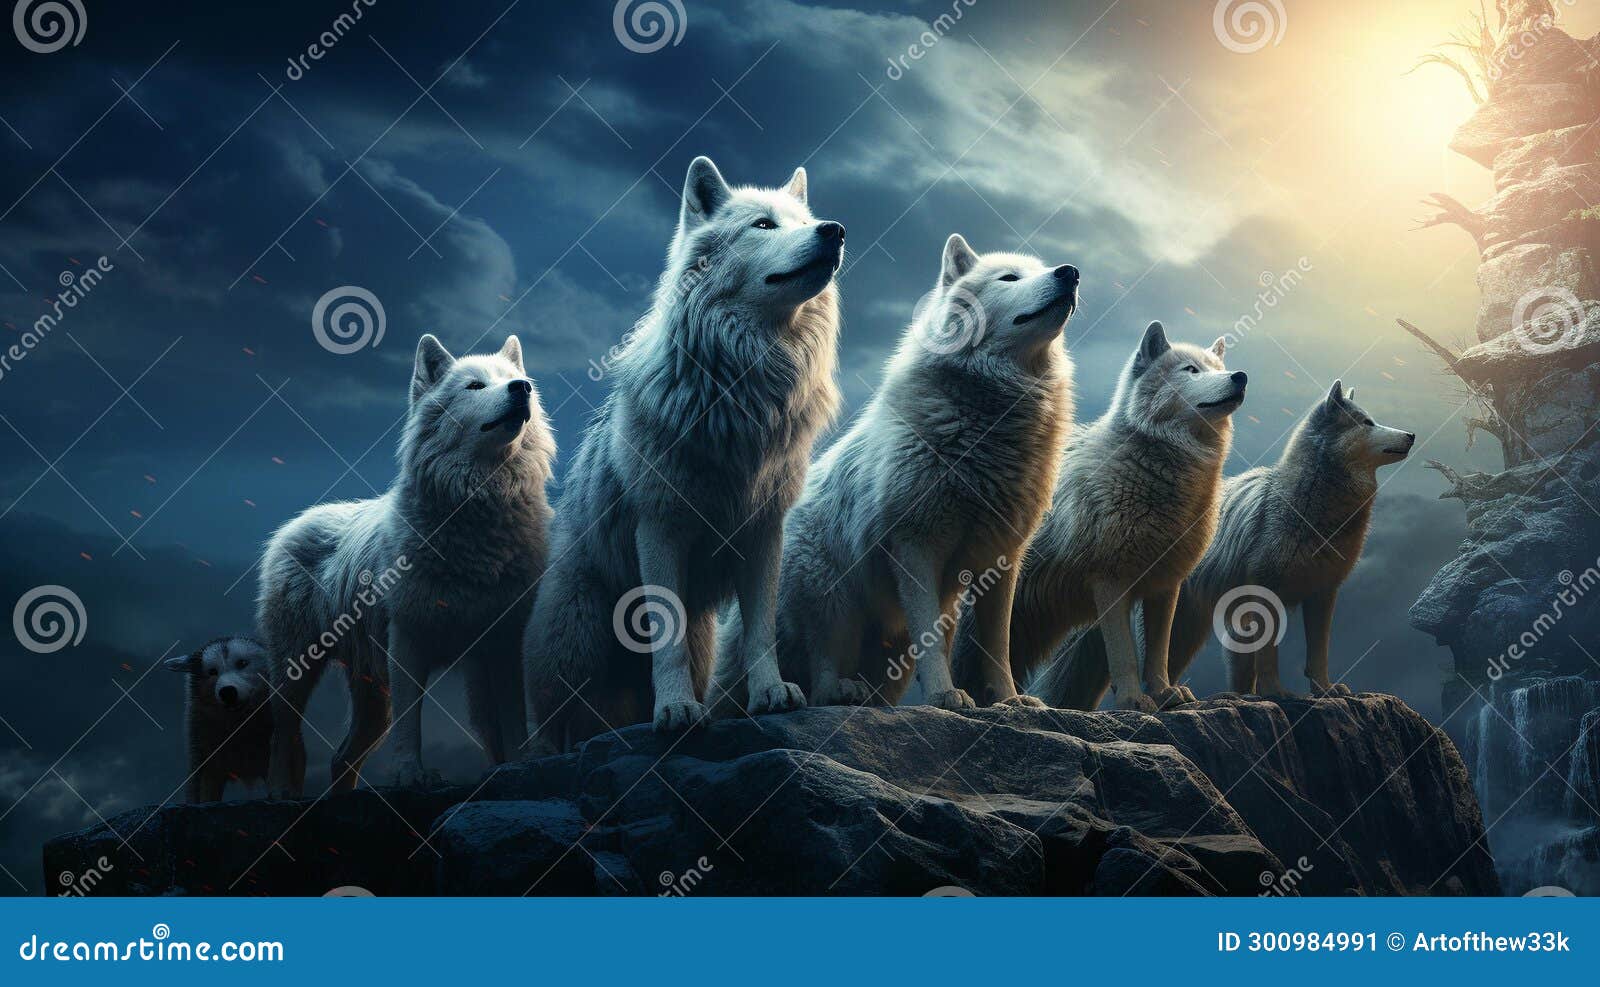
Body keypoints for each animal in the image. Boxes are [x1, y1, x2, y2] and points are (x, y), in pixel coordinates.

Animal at [258, 334, 554, 796]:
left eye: (513, 380)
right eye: (474, 386)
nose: (522, 388)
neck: (479, 505)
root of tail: (292, 523)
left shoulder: (500, 639)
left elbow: (509, 718)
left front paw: (519, 764)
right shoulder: (408, 639)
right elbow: (411, 723)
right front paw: (411, 774)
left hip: (371, 695)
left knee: (342, 757)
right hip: (296, 673)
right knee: (282, 735)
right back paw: (279, 794)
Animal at [523, 156, 843, 747]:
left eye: (805, 221)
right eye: (763, 225)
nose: (834, 231)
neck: (743, 386)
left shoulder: (764, 529)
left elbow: (761, 630)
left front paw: (771, 694)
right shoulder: (660, 527)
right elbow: (663, 638)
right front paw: (674, 710)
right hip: (574, 642)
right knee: (545, 727)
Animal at [721, 234, 1077, 713]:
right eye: (1009, 278)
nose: (1070, 273)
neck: (992, 417)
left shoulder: (1002, 558)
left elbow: (997, 647)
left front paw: (1009, 700)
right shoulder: (916, 547)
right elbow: (933, 642)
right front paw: (946, 694)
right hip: (831, 600)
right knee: (821, 676)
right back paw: (842, 691)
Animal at [961, 322, 1246, 711]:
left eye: (1218, 368)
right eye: (1191, 371)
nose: (1240, 377)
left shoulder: (1166, 584)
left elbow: (1158, 653)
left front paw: (1165, 693)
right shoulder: (1110, 582)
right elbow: (1125, 655)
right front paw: (1133, 700)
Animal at [1034, 380, 1415, 708]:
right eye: (1367, 422)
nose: (1411, 434)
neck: (1311, 509)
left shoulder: (1323, 594)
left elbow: (1316, 655)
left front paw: (1323, 690)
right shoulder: (1266, 595)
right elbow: (1268, 659)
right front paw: (1275, 693)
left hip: (1186, 631)